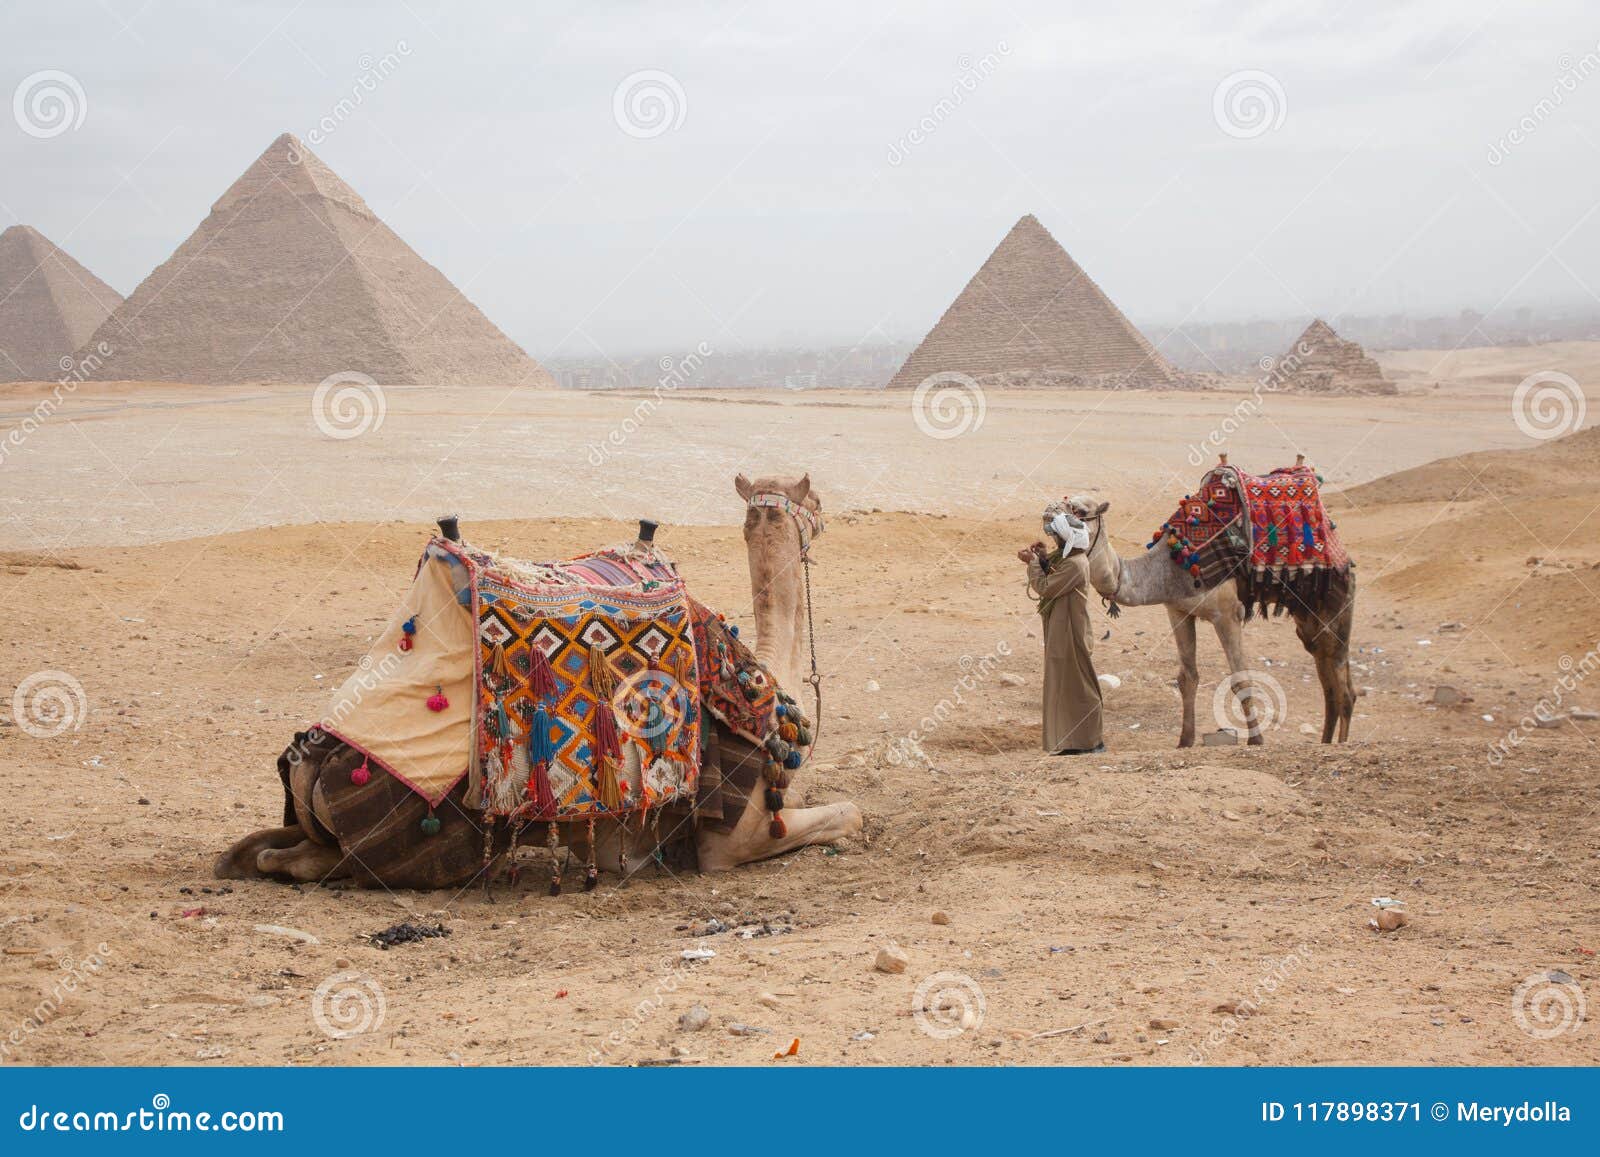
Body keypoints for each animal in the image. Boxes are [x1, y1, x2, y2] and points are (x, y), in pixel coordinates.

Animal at [215, 477, 861, 888]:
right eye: (816, 499)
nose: (830, 516)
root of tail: (309, 753)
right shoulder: (732, 841)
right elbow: (850, 813)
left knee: (266, 851)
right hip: (408, 844)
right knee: (301, 862)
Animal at [1064, 492, 1356, 747]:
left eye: (1081, 512)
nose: (1055, 518)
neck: (1169, 566)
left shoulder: (1227, 613)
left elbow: (1241, 679)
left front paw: (1256, 740)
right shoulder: (1178, 612)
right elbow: (1187, 678)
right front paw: (1184, 741)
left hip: (1336, 604)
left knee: (1342, 680)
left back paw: (1341, 742)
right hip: (1307, 616)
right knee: (1328, 675)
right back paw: (1325, 741)